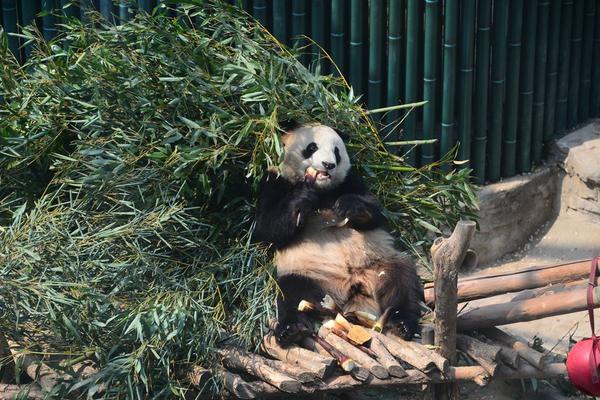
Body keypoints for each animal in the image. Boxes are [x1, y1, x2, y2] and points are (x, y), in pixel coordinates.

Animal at [255, 122, 424, 344]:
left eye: (337, 151)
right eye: (312, 147)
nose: (328, 165)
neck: (322, 190)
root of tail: (351, 285)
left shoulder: (350, 181)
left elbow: (375, 211)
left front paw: (348, 206)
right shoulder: (273, 180)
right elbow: (266, 228)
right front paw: (302, 197)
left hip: (379, 263)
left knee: (402, 281)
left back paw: (403, 323)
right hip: (309, 272)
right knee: (292, 292)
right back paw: (292, 329)